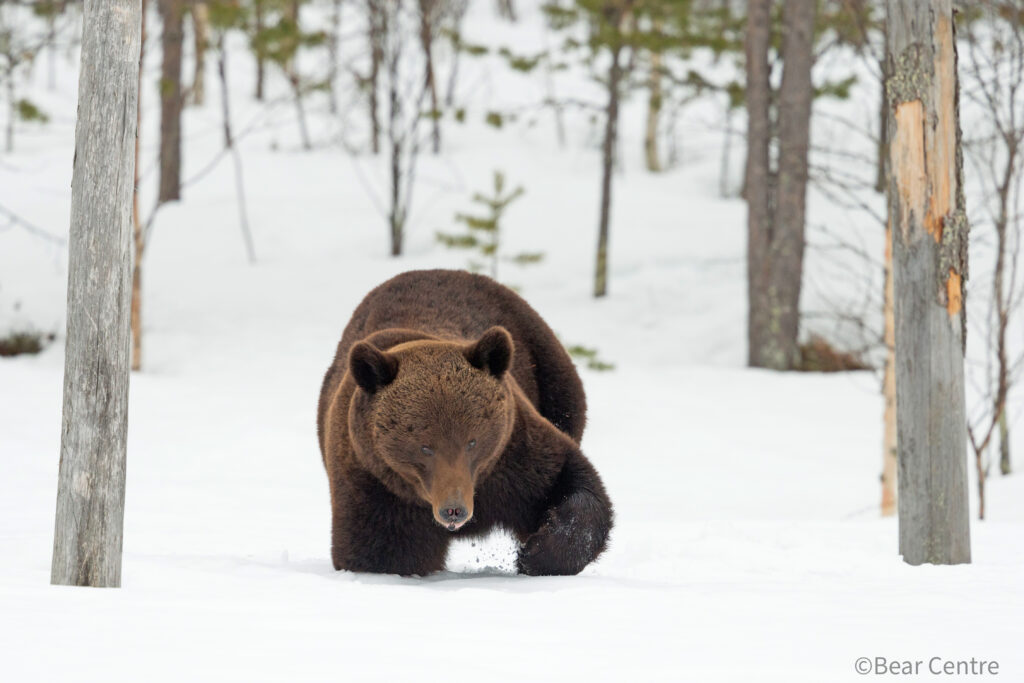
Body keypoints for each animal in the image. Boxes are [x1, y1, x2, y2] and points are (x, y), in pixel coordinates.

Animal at [317, 269, 613, 576]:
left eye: (472, 441)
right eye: (424, 447)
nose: (454, 509)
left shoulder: (513, 456)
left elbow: (571, 485)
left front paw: (535, 553)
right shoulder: (375, 486)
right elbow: (382, 554)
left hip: (548, 374)